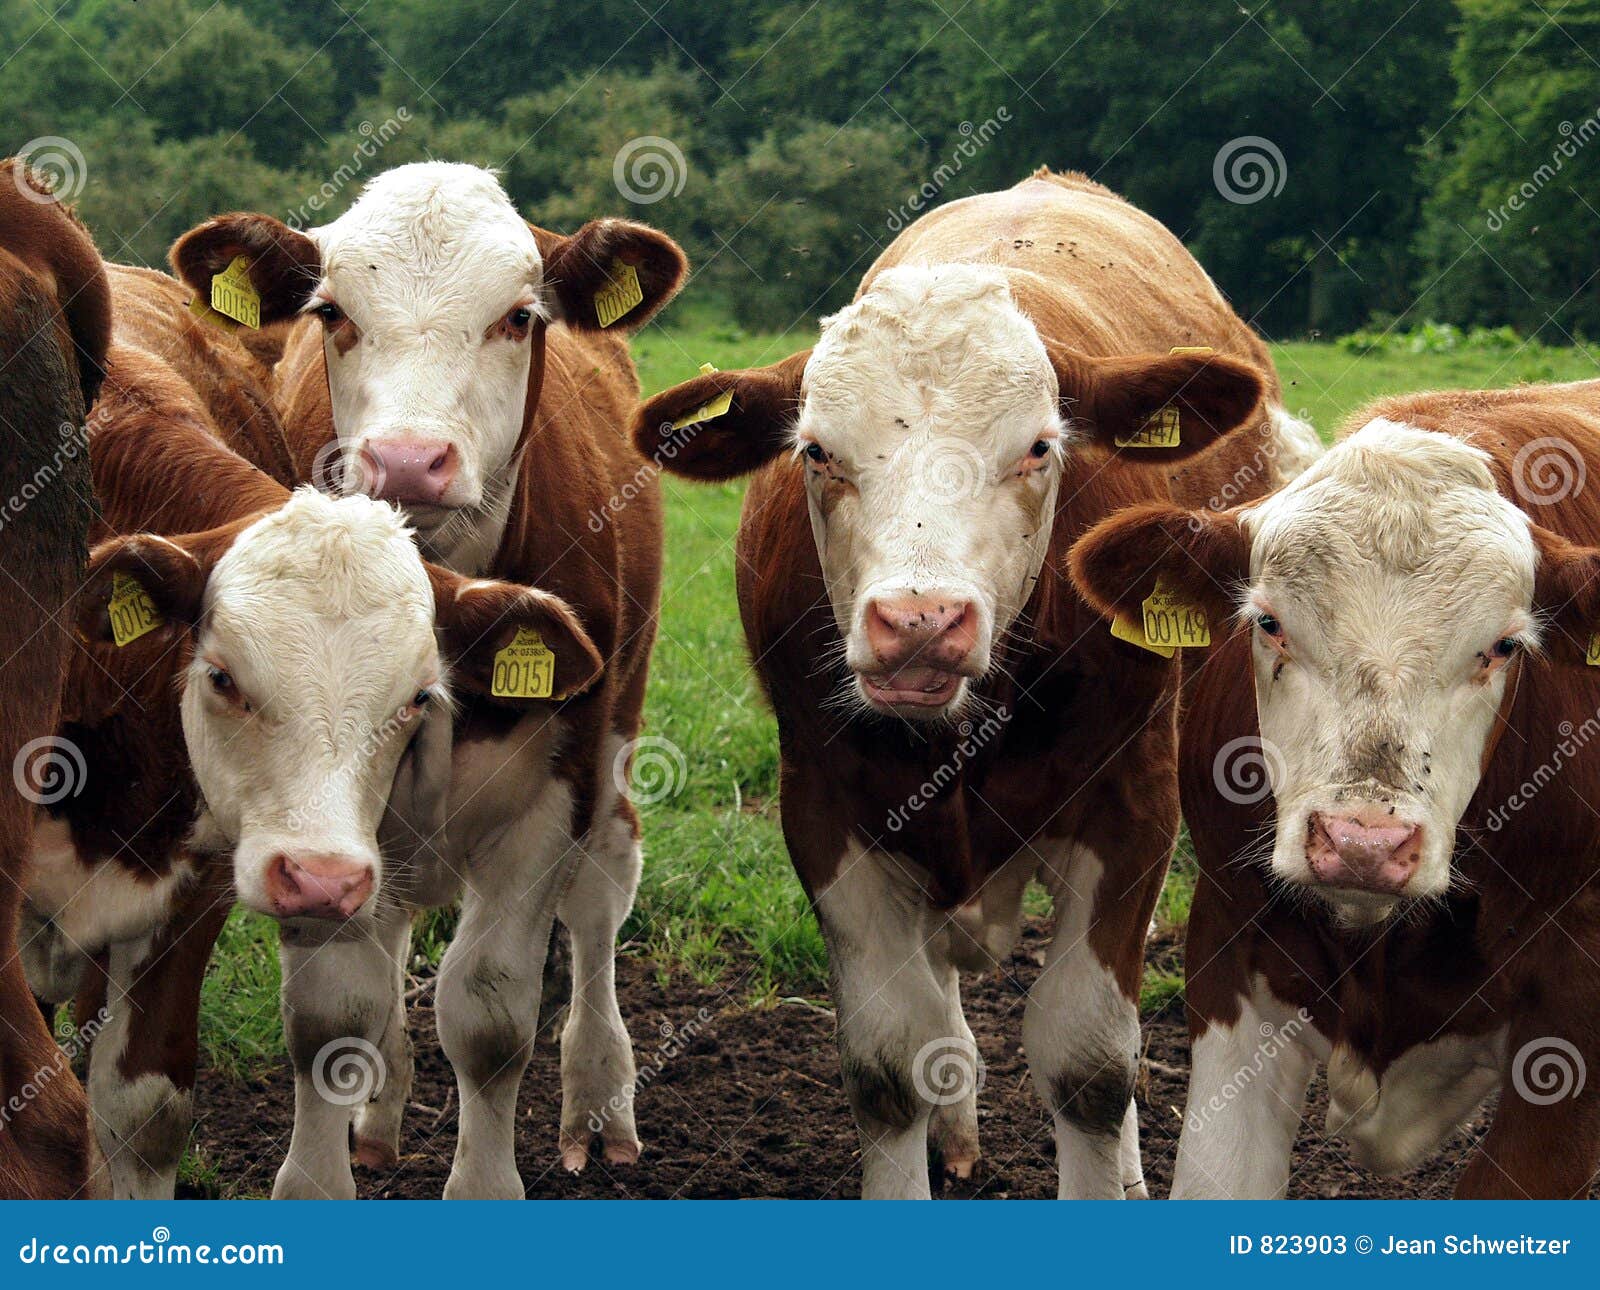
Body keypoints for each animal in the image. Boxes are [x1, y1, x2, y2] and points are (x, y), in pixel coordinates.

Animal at [166, 162, 687, 1197]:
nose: (407, 460)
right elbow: (333, 1012)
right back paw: (380, 1112)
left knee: (603, 892)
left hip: (619, 729)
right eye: (332, 311)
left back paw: (599, 1096)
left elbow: (488, 1015)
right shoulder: (313, 816)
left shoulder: (549, 800)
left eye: (520, 317)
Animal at [631, 167, 1318, 1198]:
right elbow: (888, 1058)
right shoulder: (824, 809)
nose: (920, 622)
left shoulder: (1133, 803)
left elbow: (1090, 1060)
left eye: (1038, 447)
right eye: (815, 451)